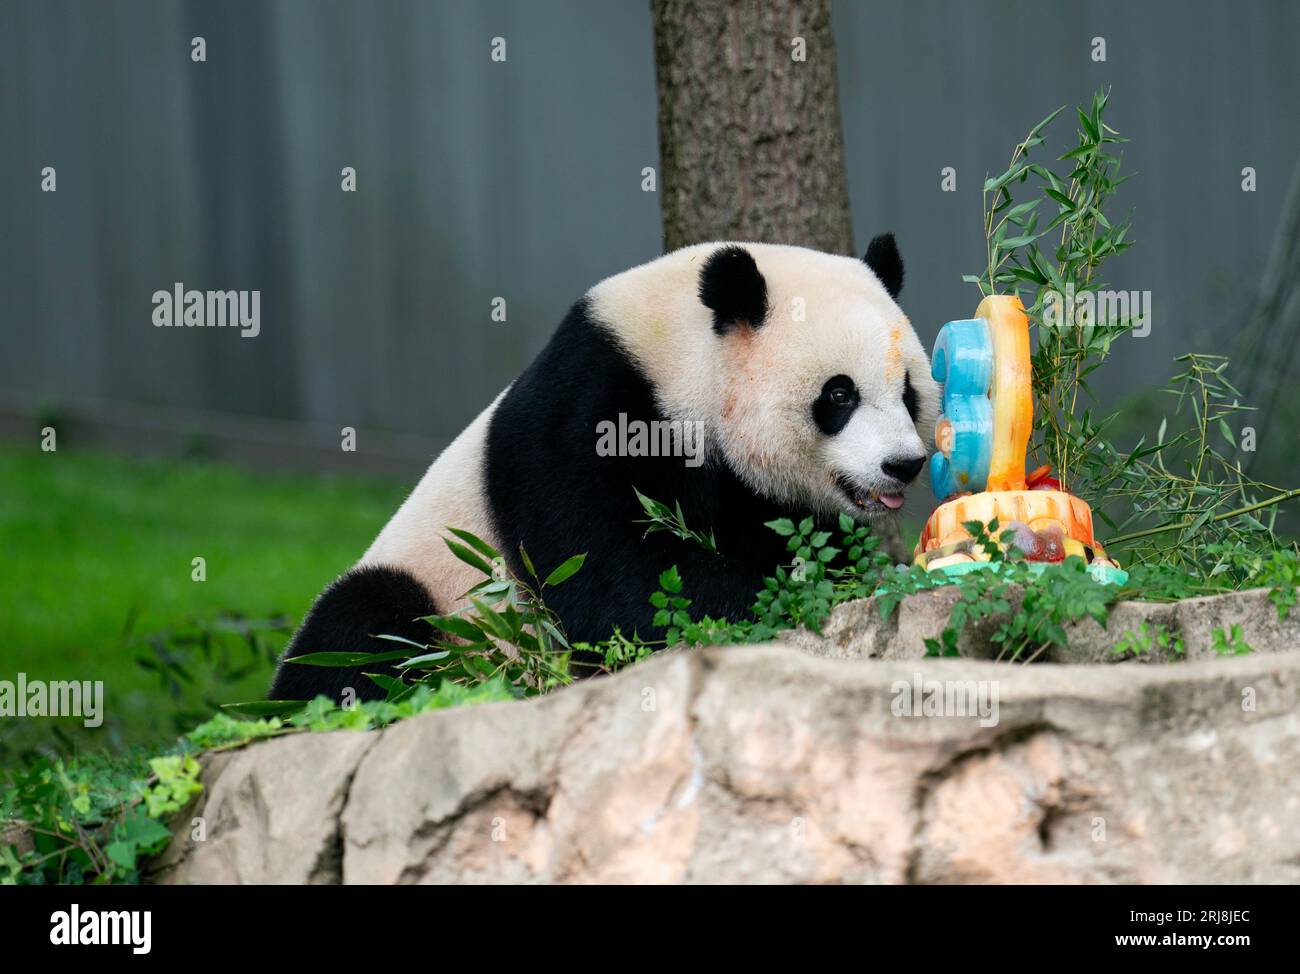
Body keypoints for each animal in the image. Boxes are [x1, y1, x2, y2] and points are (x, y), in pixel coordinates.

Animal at [269, 235, 939, 702]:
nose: (902, 465)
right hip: (437, 594)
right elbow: (616, 578)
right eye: (839, 395)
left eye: (908, 392)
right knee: (363, 631)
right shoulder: (587, 411)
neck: (681, 354)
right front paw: (774, 598)